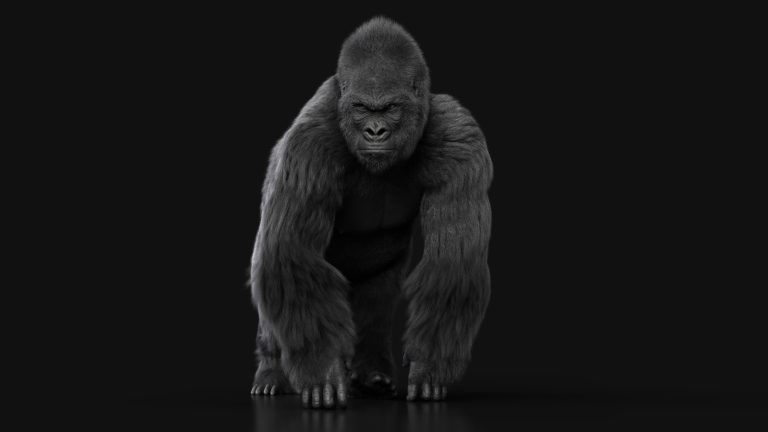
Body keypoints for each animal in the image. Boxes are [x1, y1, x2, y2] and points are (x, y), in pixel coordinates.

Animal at [250, 17, 492, 409]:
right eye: (362, 108)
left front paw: (428, 365)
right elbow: (291, 255)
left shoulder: (458, 136)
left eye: (390, 108)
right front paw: (323, 368)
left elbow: (452, 263)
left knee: (376, 300)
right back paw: (271, 372)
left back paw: (370, 373)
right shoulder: (308, 145)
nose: (375, 131)